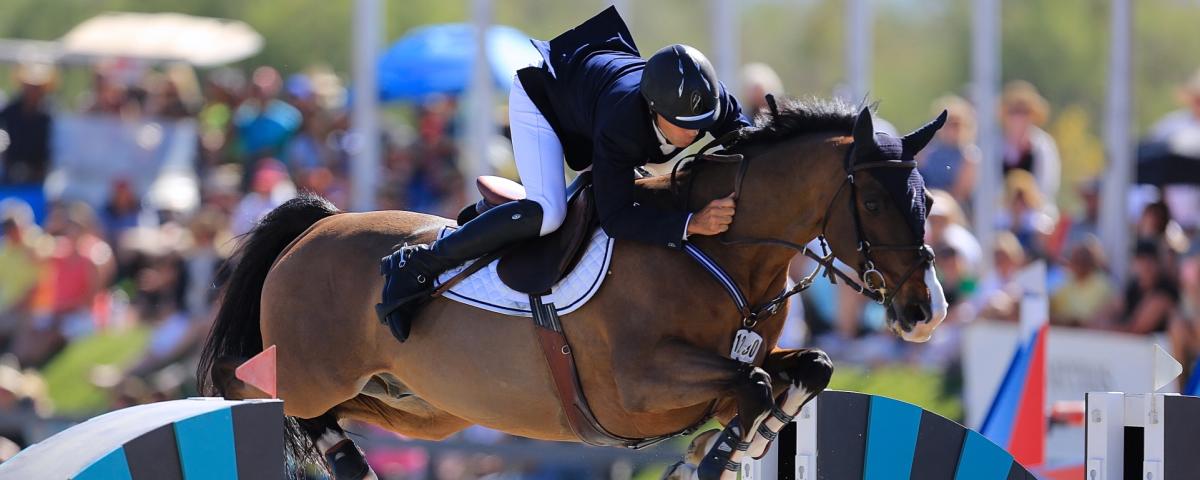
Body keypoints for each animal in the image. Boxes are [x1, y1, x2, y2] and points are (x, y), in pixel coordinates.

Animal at [198, 99, 949, 479]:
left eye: (931, 201)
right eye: (874, 203)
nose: (926, 313)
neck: (717, 254)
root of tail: (314, 228)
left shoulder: (736, 362)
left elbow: (803, 371)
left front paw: (747, 441)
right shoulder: (639, 385)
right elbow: (755, 385)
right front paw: (716, 454)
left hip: (424, 405)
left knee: (341, 414)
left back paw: (351, 460)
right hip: (310, 373)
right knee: (259, 388)